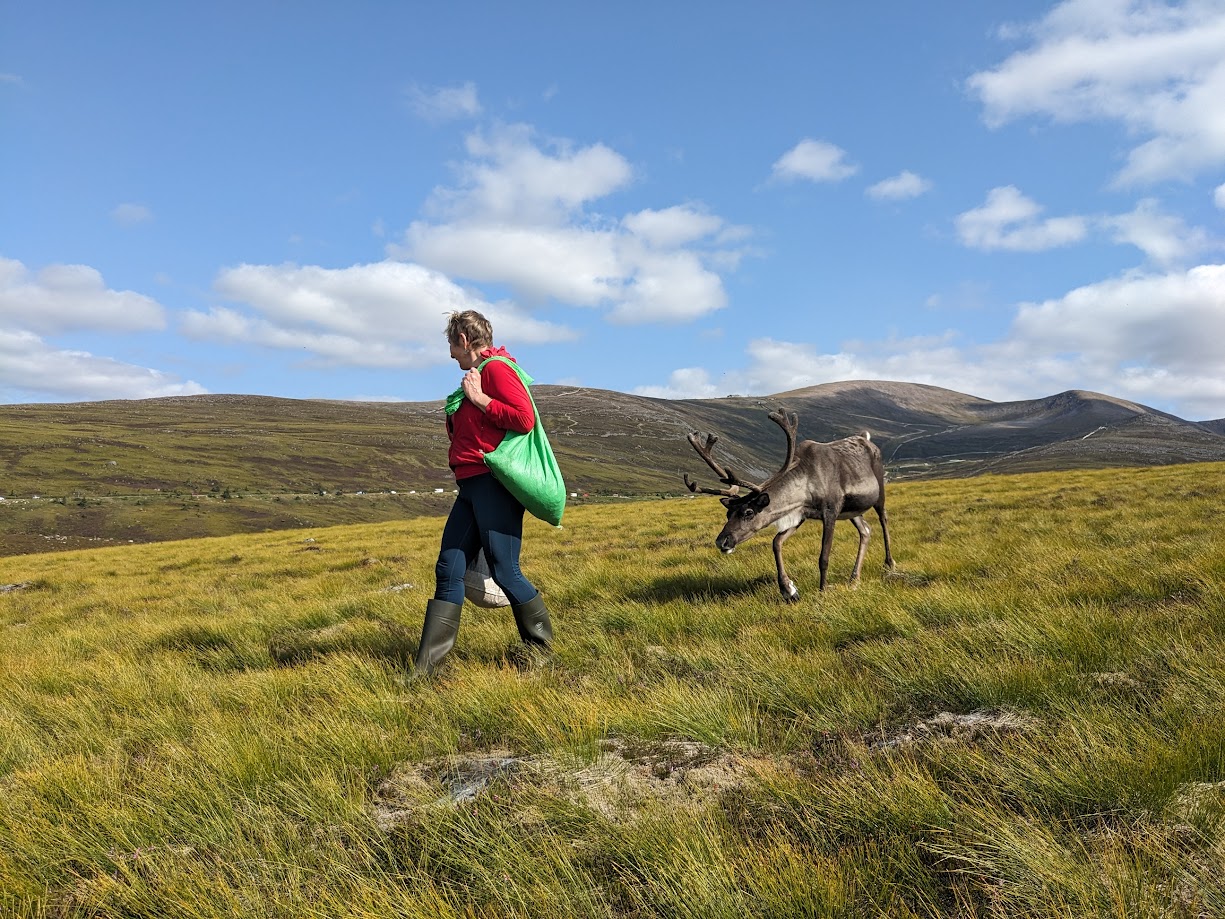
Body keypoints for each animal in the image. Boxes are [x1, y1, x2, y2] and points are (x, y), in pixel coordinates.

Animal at [684, 410, 894, 601]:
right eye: (728, 514)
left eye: (748, 512)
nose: (721, 542)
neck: (806, 483)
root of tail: (866, 439)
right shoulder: (800, 514)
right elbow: (776, 542)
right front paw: (789, 590)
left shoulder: (831, 511)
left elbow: (824, 556)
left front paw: (822, 592)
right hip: (852, 510)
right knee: (865, 530)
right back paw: (854, 579)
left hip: (879, 491)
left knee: (883, 520)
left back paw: (889, 563)